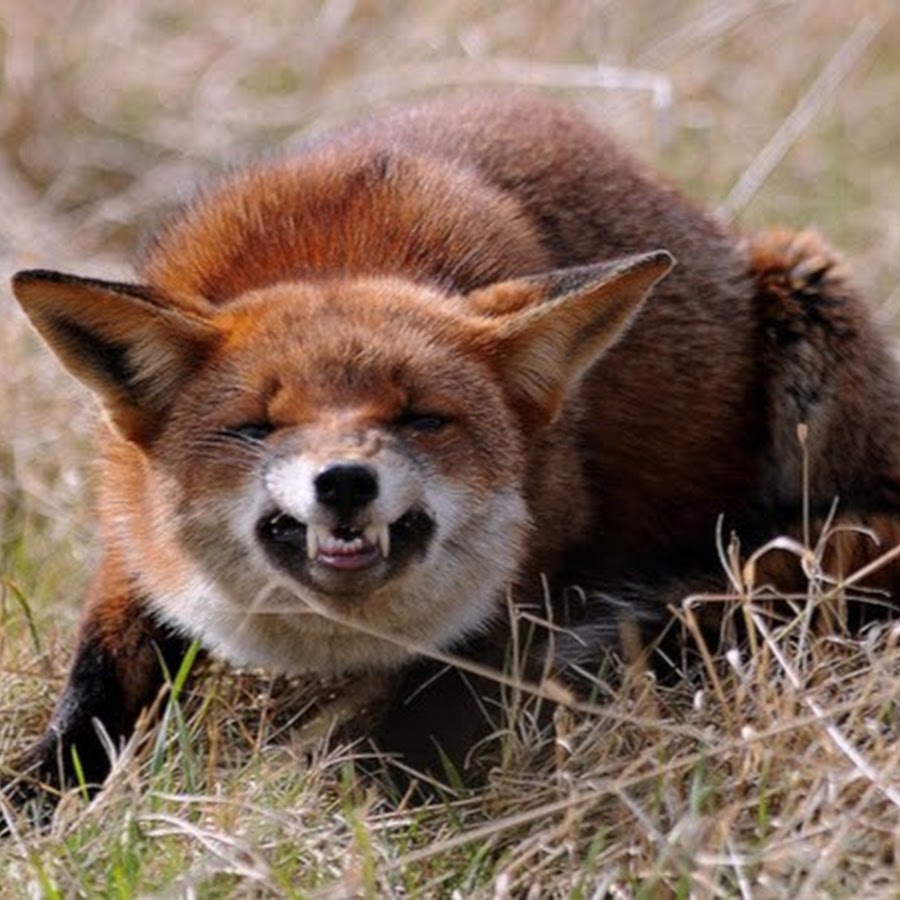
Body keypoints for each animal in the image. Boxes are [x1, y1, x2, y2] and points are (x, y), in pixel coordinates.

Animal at [6, 91, 900, 810]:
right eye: (258, 427)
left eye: (421, 418)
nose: (343, 481)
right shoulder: (131, 535)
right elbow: (95, 687)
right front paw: (40, 802)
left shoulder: (539, 560)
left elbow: (441, 693)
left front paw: (387, 792)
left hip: (810, 311)